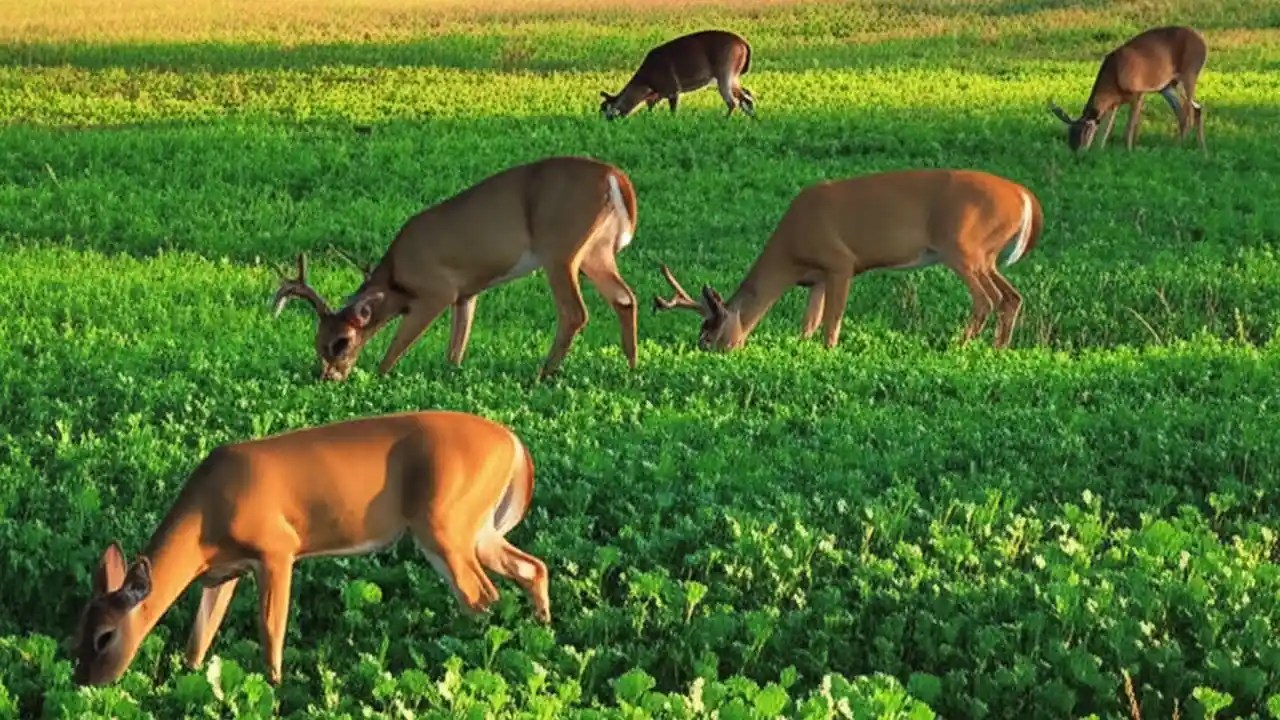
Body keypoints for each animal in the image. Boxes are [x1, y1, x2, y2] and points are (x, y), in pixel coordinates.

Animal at [71, 410, 550, 688]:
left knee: (480, 595)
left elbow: (271, 628)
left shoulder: (277, 549)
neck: (207, 519)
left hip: (445, 522)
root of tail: (516, 445)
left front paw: (275, 686)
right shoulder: (222, 572)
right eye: (78, 631)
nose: (85, 682)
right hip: (476, 526)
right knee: (531, 568)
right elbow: (199, 637)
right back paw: (539, 631)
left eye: (105, 636)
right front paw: (186, 682)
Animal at [271, 156, 640, 382]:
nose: (328, 377)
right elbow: (456, 346)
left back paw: (542, 375)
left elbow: (396, 347)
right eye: (318, 341)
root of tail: (615, 178)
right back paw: (632, 368)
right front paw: (452, 375)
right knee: (625, 299)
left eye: (341, 342)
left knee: (575, 312)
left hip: (560, 248)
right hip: (597, 252)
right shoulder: (467, 293)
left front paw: (379, 376)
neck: (396, 277)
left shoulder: (437, 291)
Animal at [599, 29, 755, 120]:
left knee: (732, 101)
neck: (647, 83)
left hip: (725, 68)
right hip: (734, 74)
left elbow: (673, 110)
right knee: (746, 96)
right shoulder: (658, 93)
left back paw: (725, 119)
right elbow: (650, 106)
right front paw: (650, 119)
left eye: (605, 109)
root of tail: (743, 44)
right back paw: (752, 118)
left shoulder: (672, 87)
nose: (605, 122)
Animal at [652, 169, 1044, 352]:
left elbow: (831, 323)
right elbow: (808, 325)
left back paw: (959, 347)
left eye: (708, 335)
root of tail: (1025, 196)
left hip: (962, 248)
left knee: (986, 299)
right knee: (1011, 297)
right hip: (987, 255)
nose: (711, 352)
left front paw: (829, 352)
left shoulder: (840, 262)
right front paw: (802, 350)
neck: (791, 249)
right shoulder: (816, 278)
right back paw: (998, 349)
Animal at [1048, 26, 1207, 153]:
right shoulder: (1114, 103)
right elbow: (1105, 129)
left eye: (1085, 132)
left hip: (1190, 71)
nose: (1077, 152)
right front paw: (1099, 150)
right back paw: (1195, 149)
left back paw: (1181, 147)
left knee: (1190, 111)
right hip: (1167, 85)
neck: (1114, 77)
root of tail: (1203, 41)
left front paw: (1129, 150)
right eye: (1069, 134)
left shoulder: (1138, 92)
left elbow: (1130, 127)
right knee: (1192, 110)